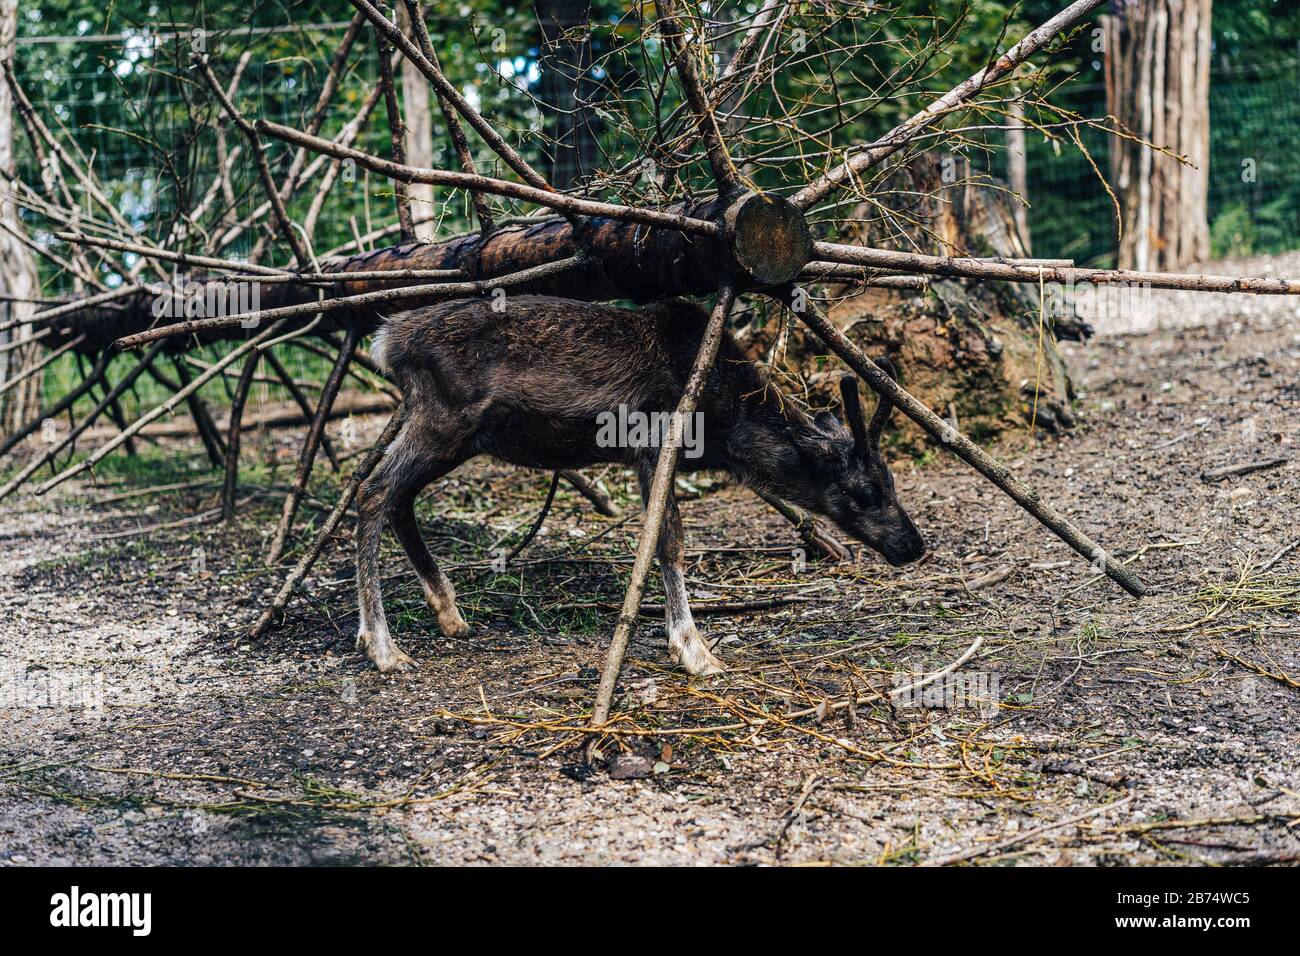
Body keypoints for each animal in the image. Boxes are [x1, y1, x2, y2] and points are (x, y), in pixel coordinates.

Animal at [356, 295, 925, 674]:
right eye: (865, 492)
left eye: (893, 481)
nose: (914, 545)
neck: (727, 425)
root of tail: (386, 343)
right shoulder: (654, 441)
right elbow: (668, 539)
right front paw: (694, 649)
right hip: (443, 416)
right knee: (373, 491)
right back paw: (382, 646)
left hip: (458, 434)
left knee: (397, 496)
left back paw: (448, 613)